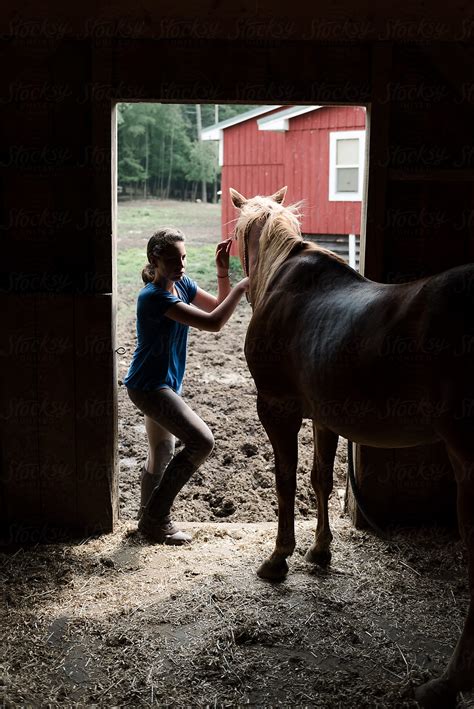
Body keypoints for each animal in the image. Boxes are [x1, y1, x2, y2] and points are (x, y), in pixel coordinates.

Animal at [230, 186, 474, 709]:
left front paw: (279, 557)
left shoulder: (276, 408)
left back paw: (446, 683)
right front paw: (320, 551)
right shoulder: (325, 416)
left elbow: (285, 482)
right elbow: (320, 479)